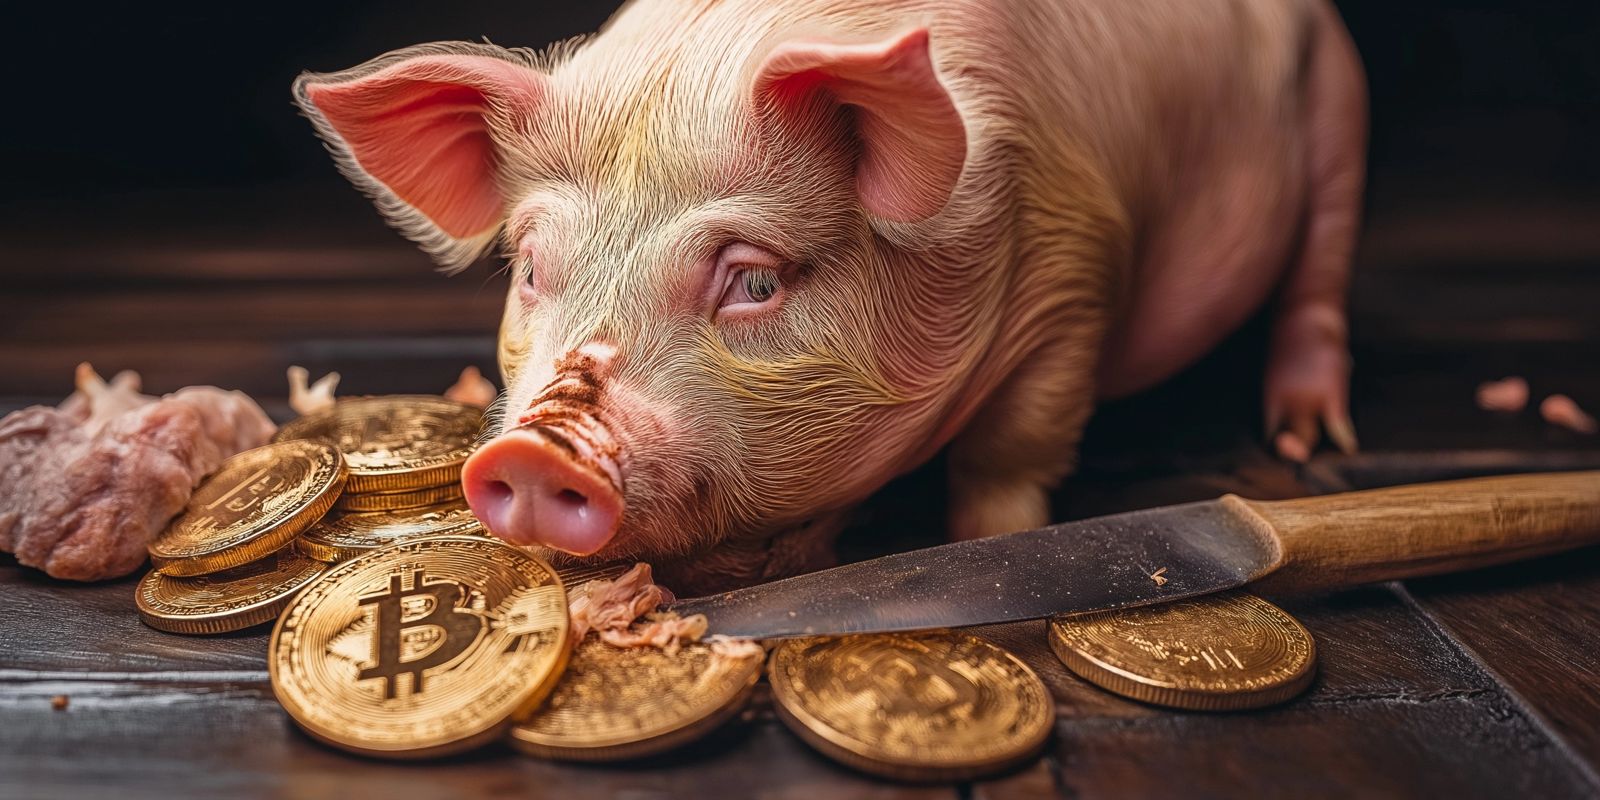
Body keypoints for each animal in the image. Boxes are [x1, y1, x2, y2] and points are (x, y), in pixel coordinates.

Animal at [294, 0, 1366, 592]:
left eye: (755, 279)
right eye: (528, 267)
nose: (528, 450)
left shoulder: (1077, 281)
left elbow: (1011, 454)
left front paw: (996, 547)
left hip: (1338, 105)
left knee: (1319, 280)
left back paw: (1308, 443)